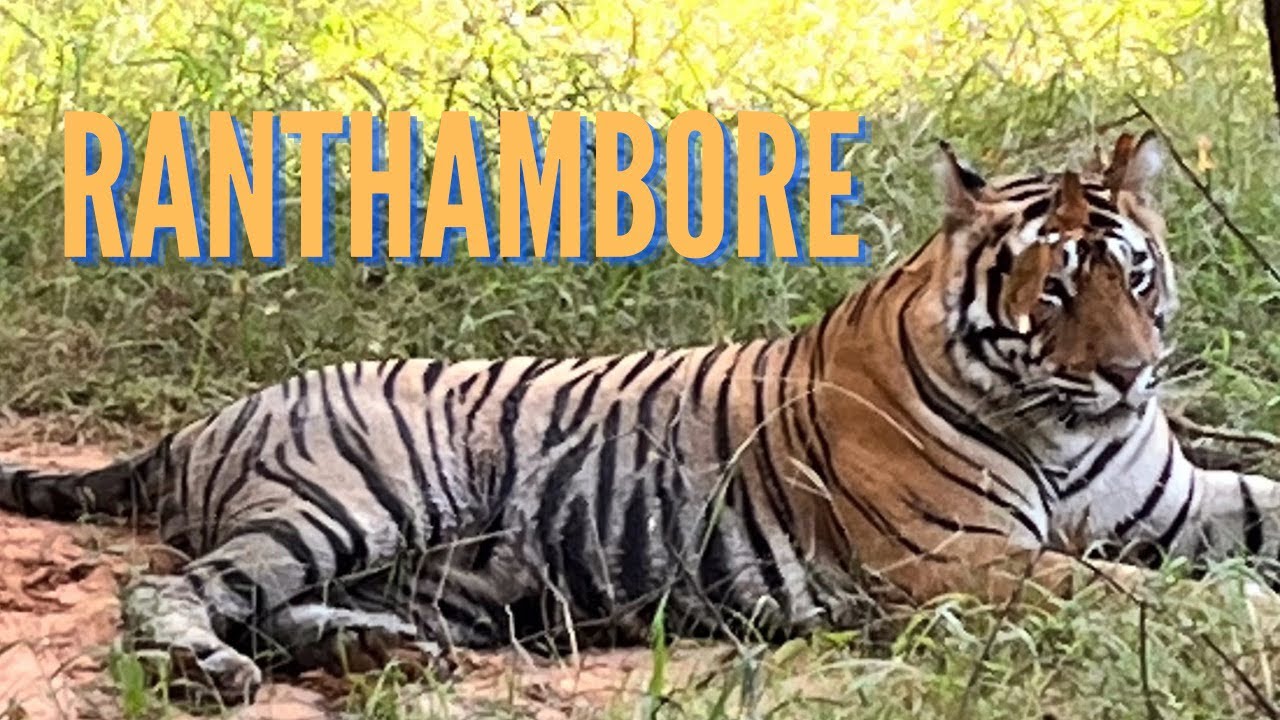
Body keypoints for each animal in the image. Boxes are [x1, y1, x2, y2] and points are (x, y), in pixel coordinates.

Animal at [1, 131, 1276, 703]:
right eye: (1052, 291)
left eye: (1134, 277)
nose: (1129, 376)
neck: (1063, 425)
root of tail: (206, 420)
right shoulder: (954, 558)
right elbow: (1131, 593)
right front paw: (1244, 625)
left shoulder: (1173, 498)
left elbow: (1252, 511)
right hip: (351, 496)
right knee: (183, 589)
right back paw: (207, 665)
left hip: (444, 577)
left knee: (283, 608)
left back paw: (379, 651)